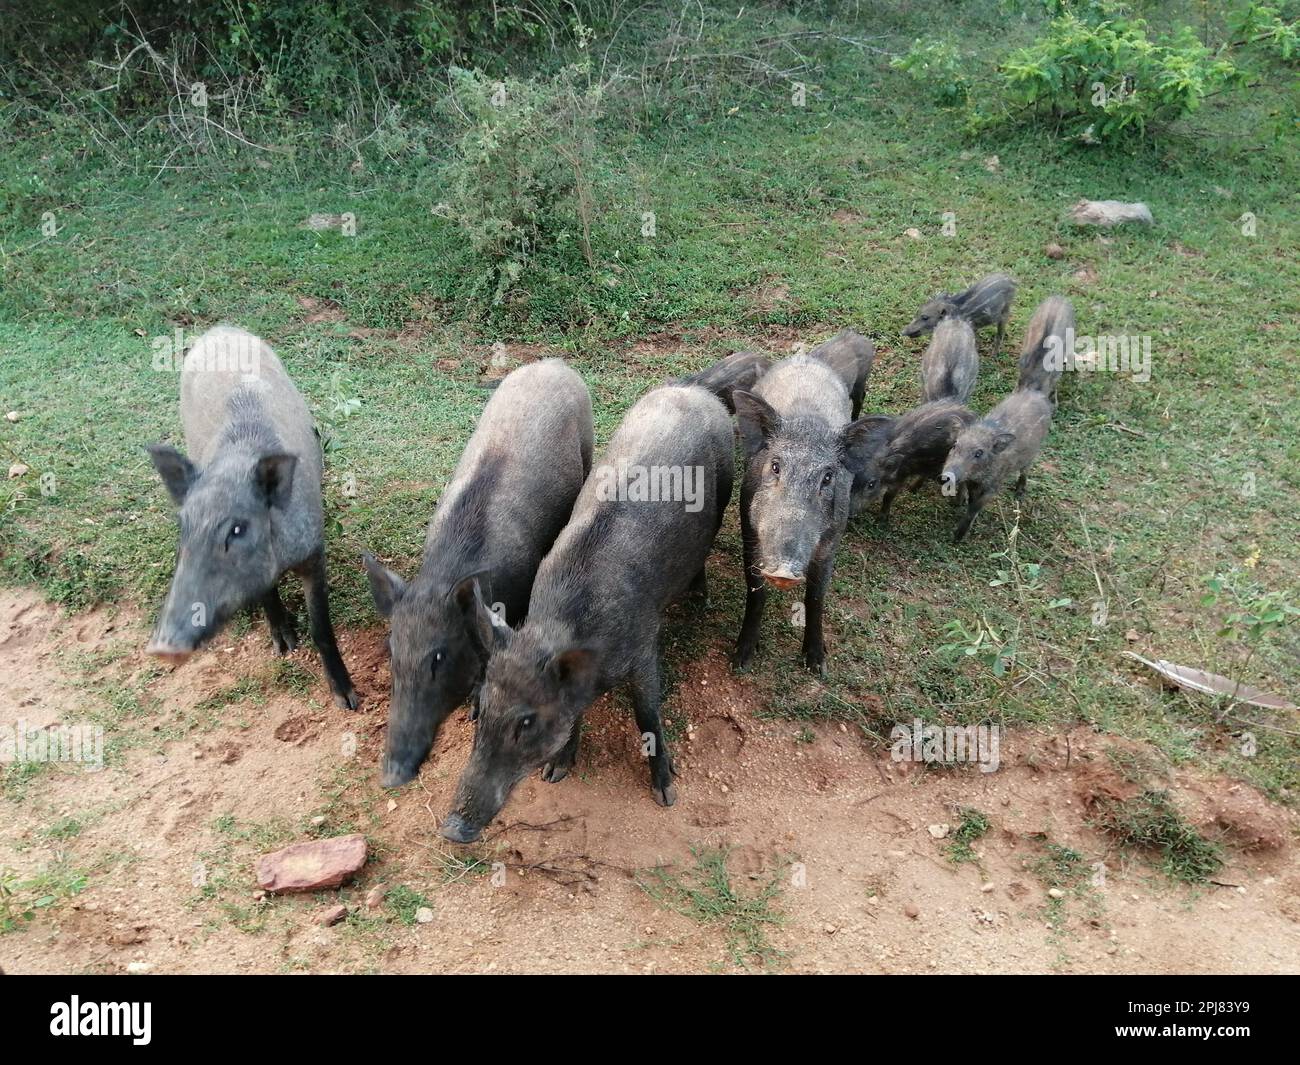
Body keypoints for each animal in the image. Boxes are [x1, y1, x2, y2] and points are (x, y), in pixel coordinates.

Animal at [145, 325, 356, 709]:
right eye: (184, 526)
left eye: (238, 529)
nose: (162, 648)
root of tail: (219, 330)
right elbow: (266, 594)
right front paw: (285, 647)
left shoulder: (313, 549)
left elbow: (321, 626)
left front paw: (348, 701)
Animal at [438, 382, 736, 843]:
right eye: (482, 710)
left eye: (527, 722)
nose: (453, 829)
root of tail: (693, 390)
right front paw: (555, 773)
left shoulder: (643, 645)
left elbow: (648, 713)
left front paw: (667, 795)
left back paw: (698, 598)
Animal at [730, 356, 879, 674]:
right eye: (775, 466)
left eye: (827, 477)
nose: (785, 571)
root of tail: (805, 358)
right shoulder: (749, 531)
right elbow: (755, 591)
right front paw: (741, 661)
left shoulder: (830, 543)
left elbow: (816, 596)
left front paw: (818, 666)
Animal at [941, 390, 1054, 542]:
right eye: (954, 445)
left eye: (979, 453)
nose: (947, 476)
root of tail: (1037, 393)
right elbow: (964, 489)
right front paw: (956, 503)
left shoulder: (993, 486)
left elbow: (974, 508)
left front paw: (958, 537)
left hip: (1032, 455)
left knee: (1025, 471)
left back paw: (1019, 494)